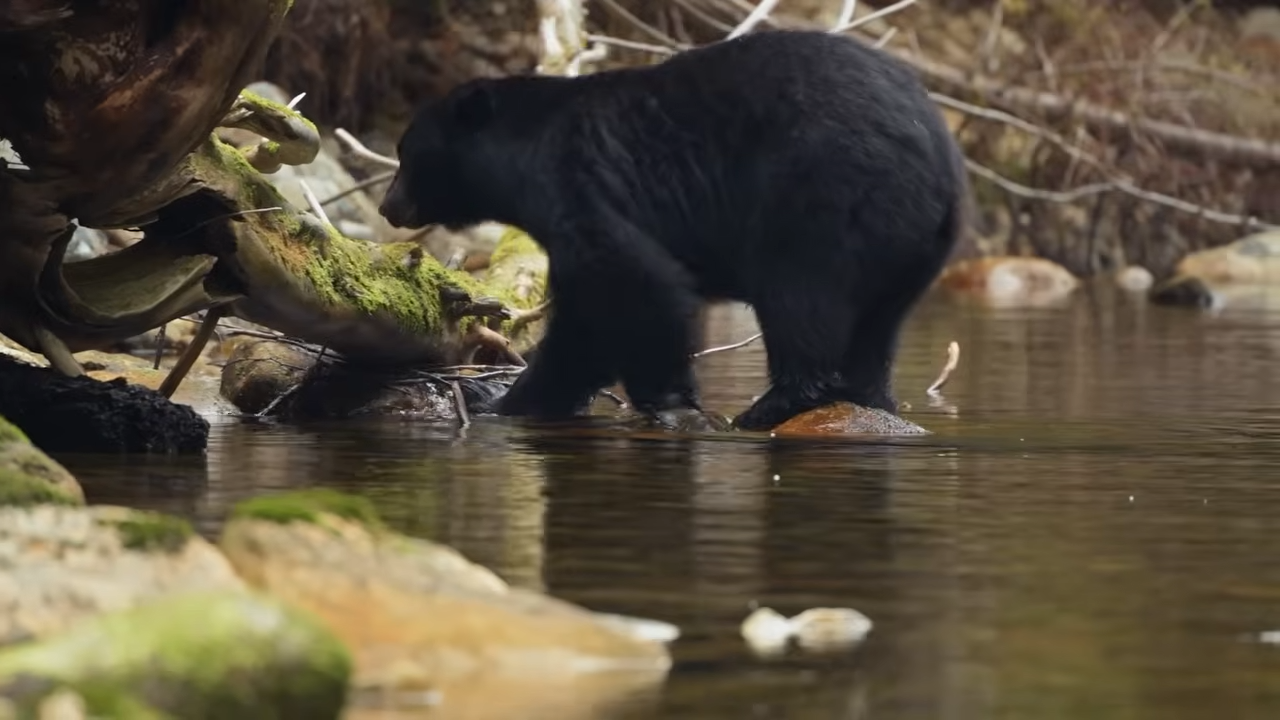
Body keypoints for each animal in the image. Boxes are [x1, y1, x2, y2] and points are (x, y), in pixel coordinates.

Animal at [377, 29, 967, 432]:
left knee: (800, 297)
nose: (387, 205)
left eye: (406, 154)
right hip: (910, 250)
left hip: (822, 199)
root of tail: (942, 163)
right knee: (876, 331)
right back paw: (867, 399)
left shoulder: (582, 189)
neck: (524, 160)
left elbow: (630, 286)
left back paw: (768, 407)